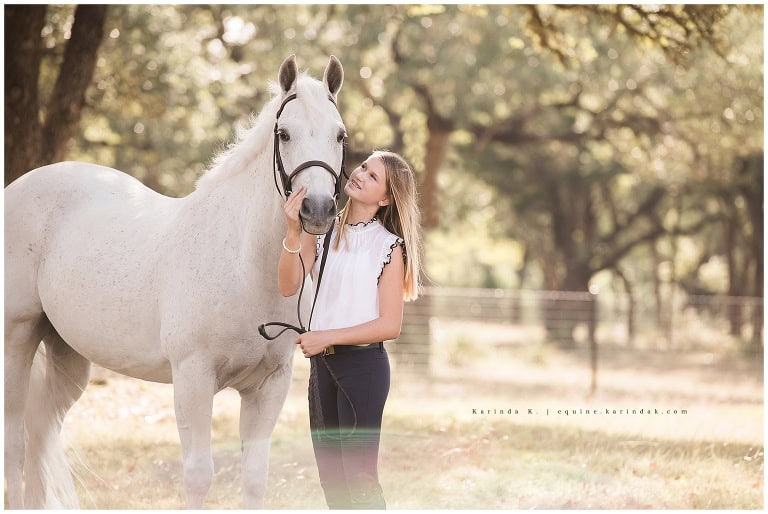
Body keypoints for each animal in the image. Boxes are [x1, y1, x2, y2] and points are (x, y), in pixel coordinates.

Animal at [4, 54, 347, 509]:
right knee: (16, 440)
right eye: (284, 133)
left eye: (340, 135)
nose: (319, 209)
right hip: (18, 336)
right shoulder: (192, 379)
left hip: (67, 354)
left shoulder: (269, 386)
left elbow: (256, 477)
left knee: (40, 433)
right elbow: (199, 476)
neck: (243, 264)